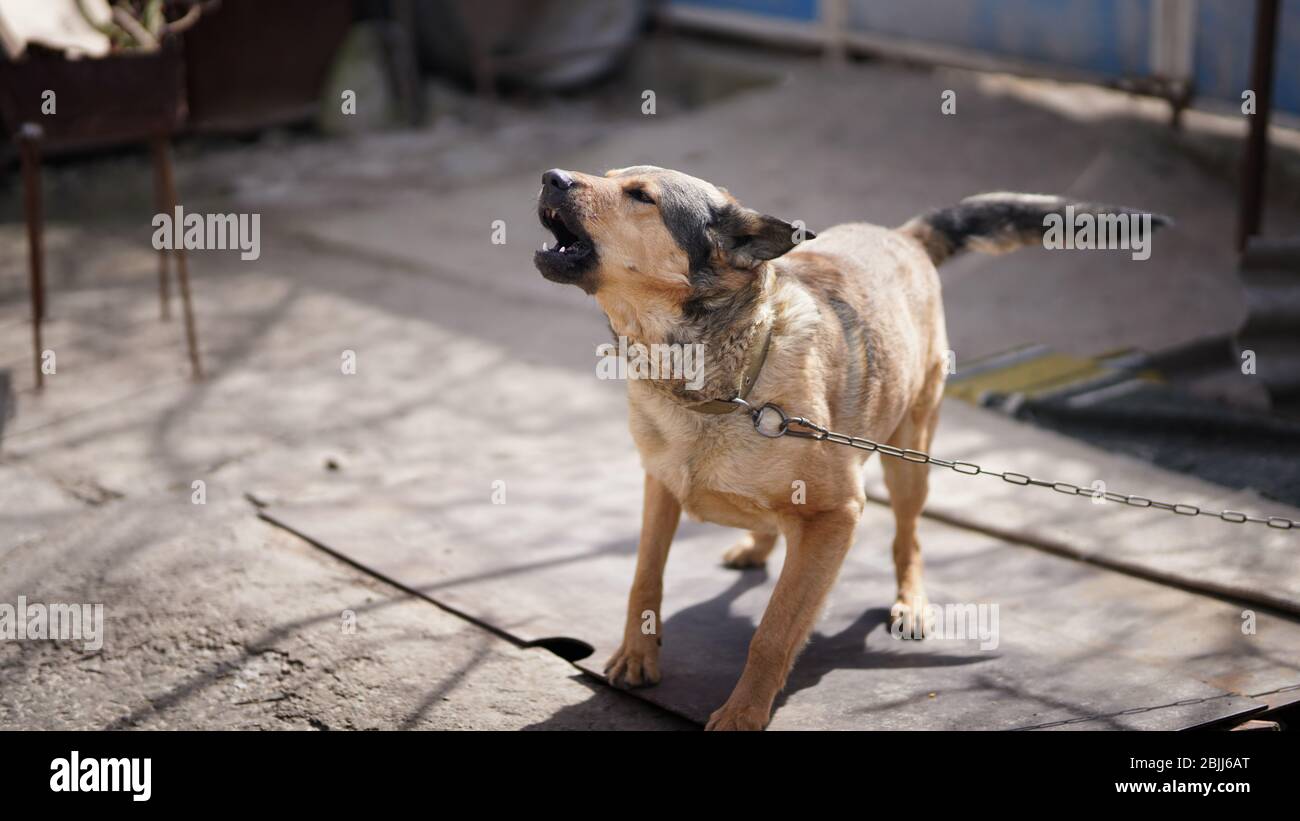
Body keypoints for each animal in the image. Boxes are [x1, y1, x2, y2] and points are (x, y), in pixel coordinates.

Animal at [533, 163, 1164, 727]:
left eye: (640, 196)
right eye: (608, 176)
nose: (550, 177)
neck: (719, 387)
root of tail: (904, 236)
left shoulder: (834, 516)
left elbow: (774, 631)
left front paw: (743, 713)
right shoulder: (660, 487)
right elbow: (644, 579)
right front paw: (637, 656)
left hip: (910, 457)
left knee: (908, 538)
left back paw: (909, 602)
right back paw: (757, 543)